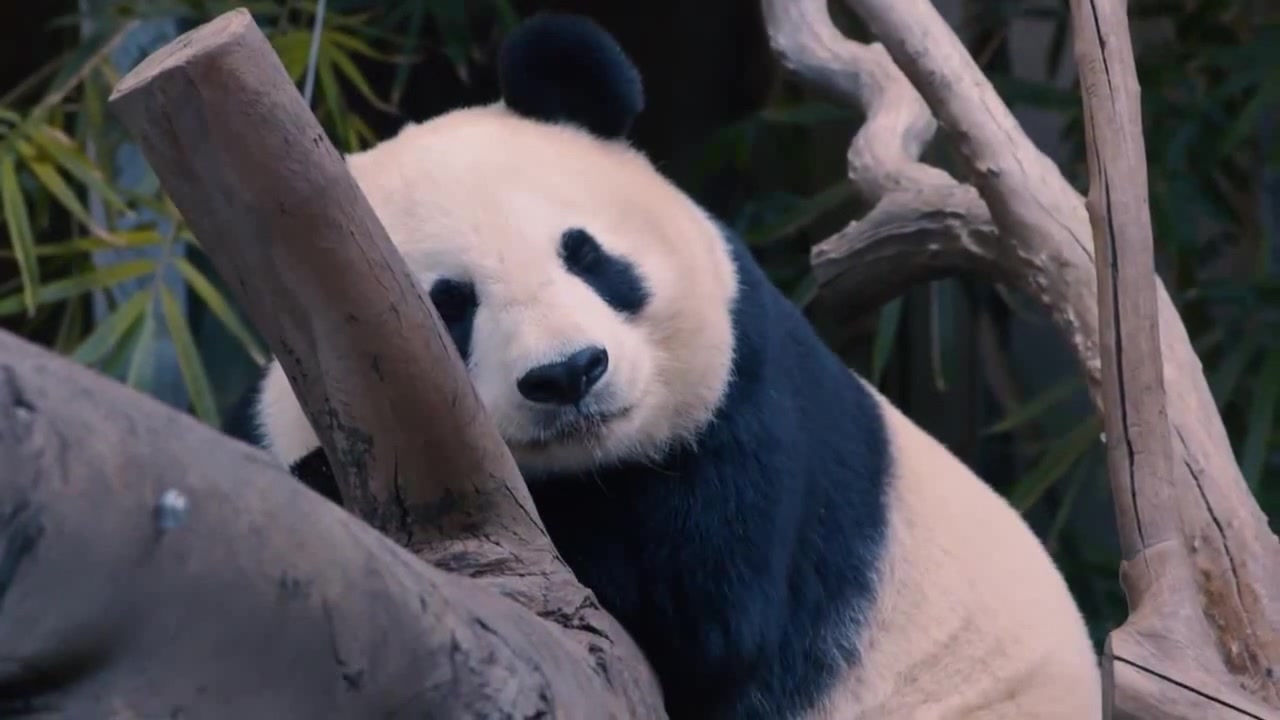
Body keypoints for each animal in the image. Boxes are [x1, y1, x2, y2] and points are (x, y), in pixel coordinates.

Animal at [227, 13, 1102, 720]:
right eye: (449, 304)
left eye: (587, 255)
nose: (568, 374)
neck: (594, 465)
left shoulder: (746, 404)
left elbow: (694, 604)